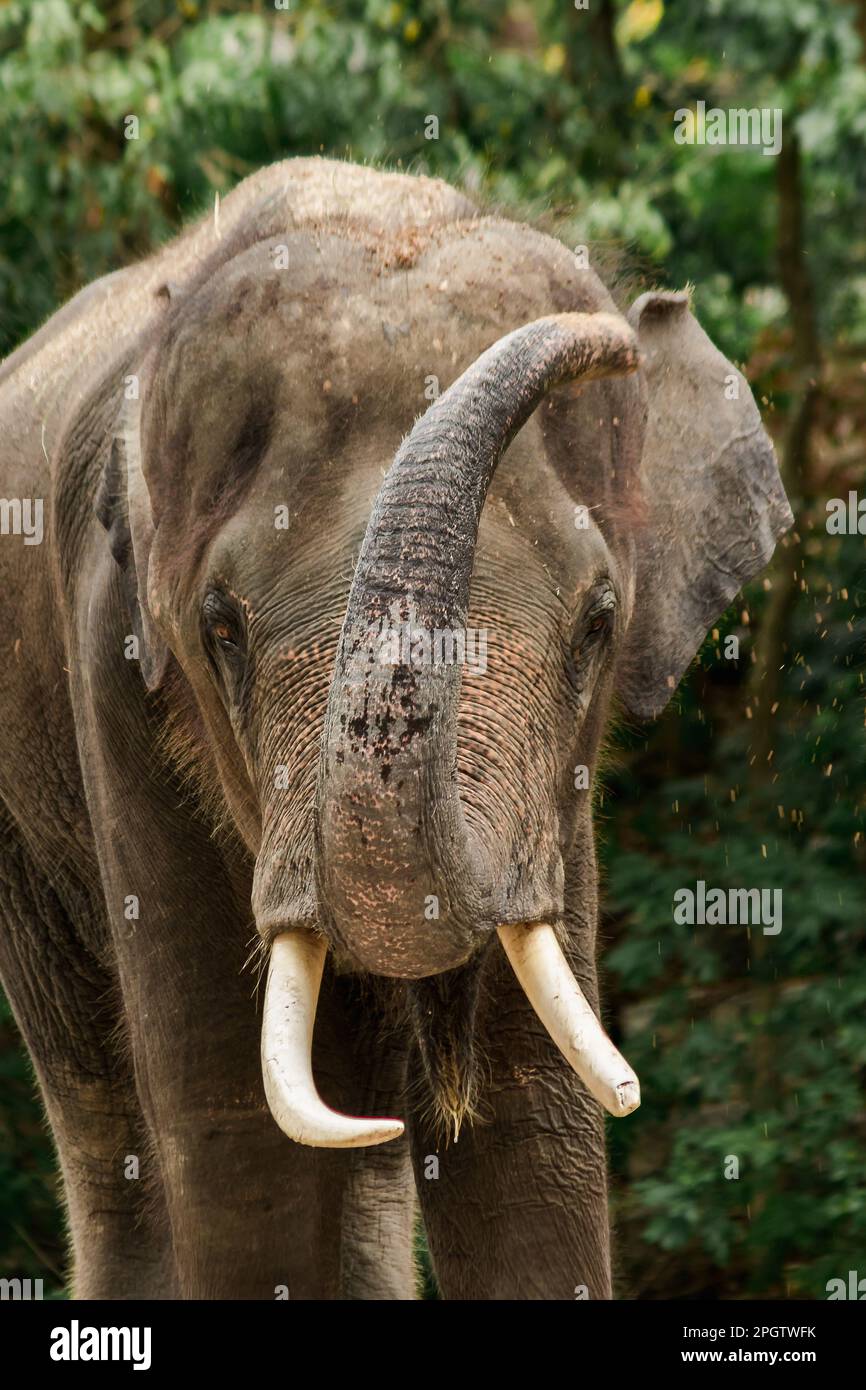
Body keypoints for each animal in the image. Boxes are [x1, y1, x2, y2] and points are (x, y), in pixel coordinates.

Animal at [0, 157, 792, 1300]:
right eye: (221, 627)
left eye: (599, 623)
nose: (612, 339)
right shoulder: (110, 664)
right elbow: (235, 1134)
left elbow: (533, 1135)